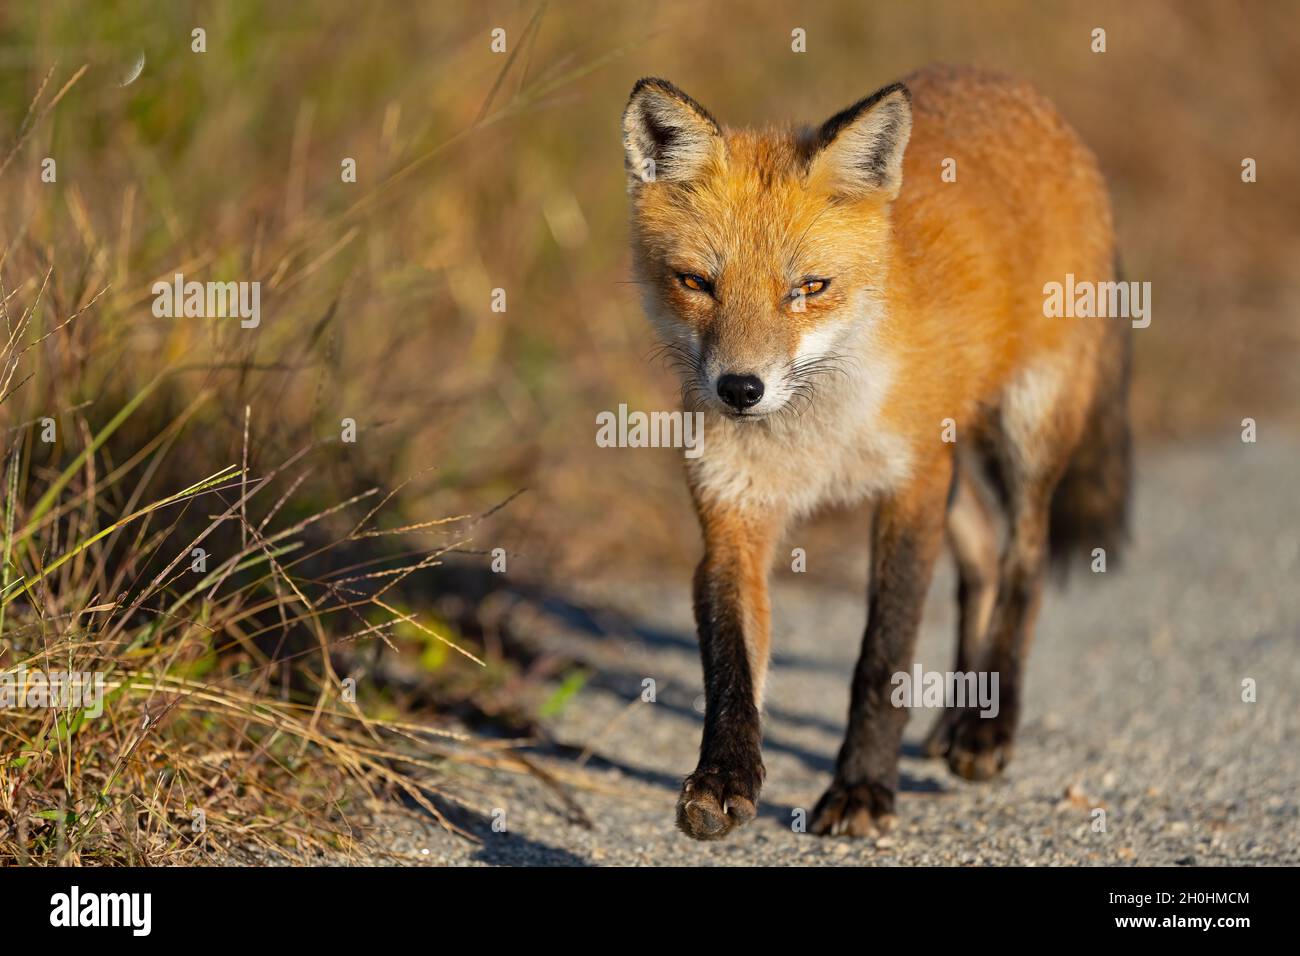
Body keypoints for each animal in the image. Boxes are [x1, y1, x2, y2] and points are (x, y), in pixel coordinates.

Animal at [620, 65, 1132, 840]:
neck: (818, 442)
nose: (740, 389)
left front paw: (861, 787)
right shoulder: (733, 514)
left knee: (1024, 562)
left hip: (1025, 428)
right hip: (956, 462)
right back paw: (960, 716)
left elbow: (882, 659)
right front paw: (723, 779)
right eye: (697, 283)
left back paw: (989, 729)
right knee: (983, 556)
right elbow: (730, 662)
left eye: (809, 288)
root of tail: (1010, 85)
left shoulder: (908, 490)